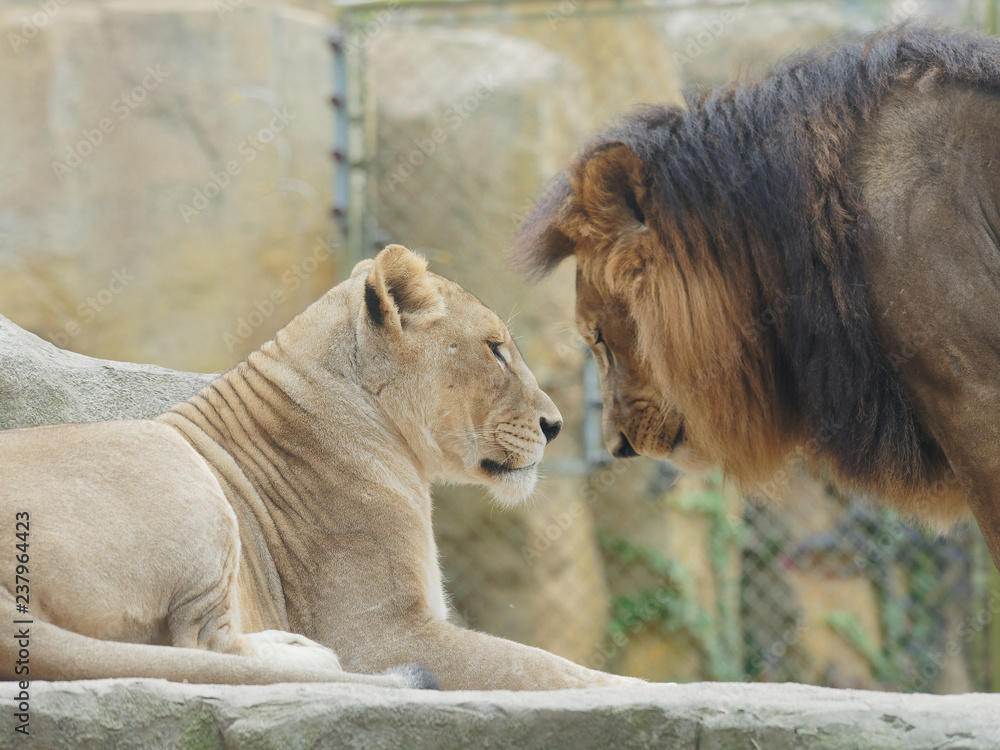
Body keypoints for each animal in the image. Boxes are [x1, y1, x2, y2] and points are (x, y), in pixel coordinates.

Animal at [0, 244, 635, 690]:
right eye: (496, 349)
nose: (555, 424)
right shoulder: (381, 634)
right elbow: (542, 667)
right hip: (173, 464)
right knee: (201, 645)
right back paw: (305, 654)